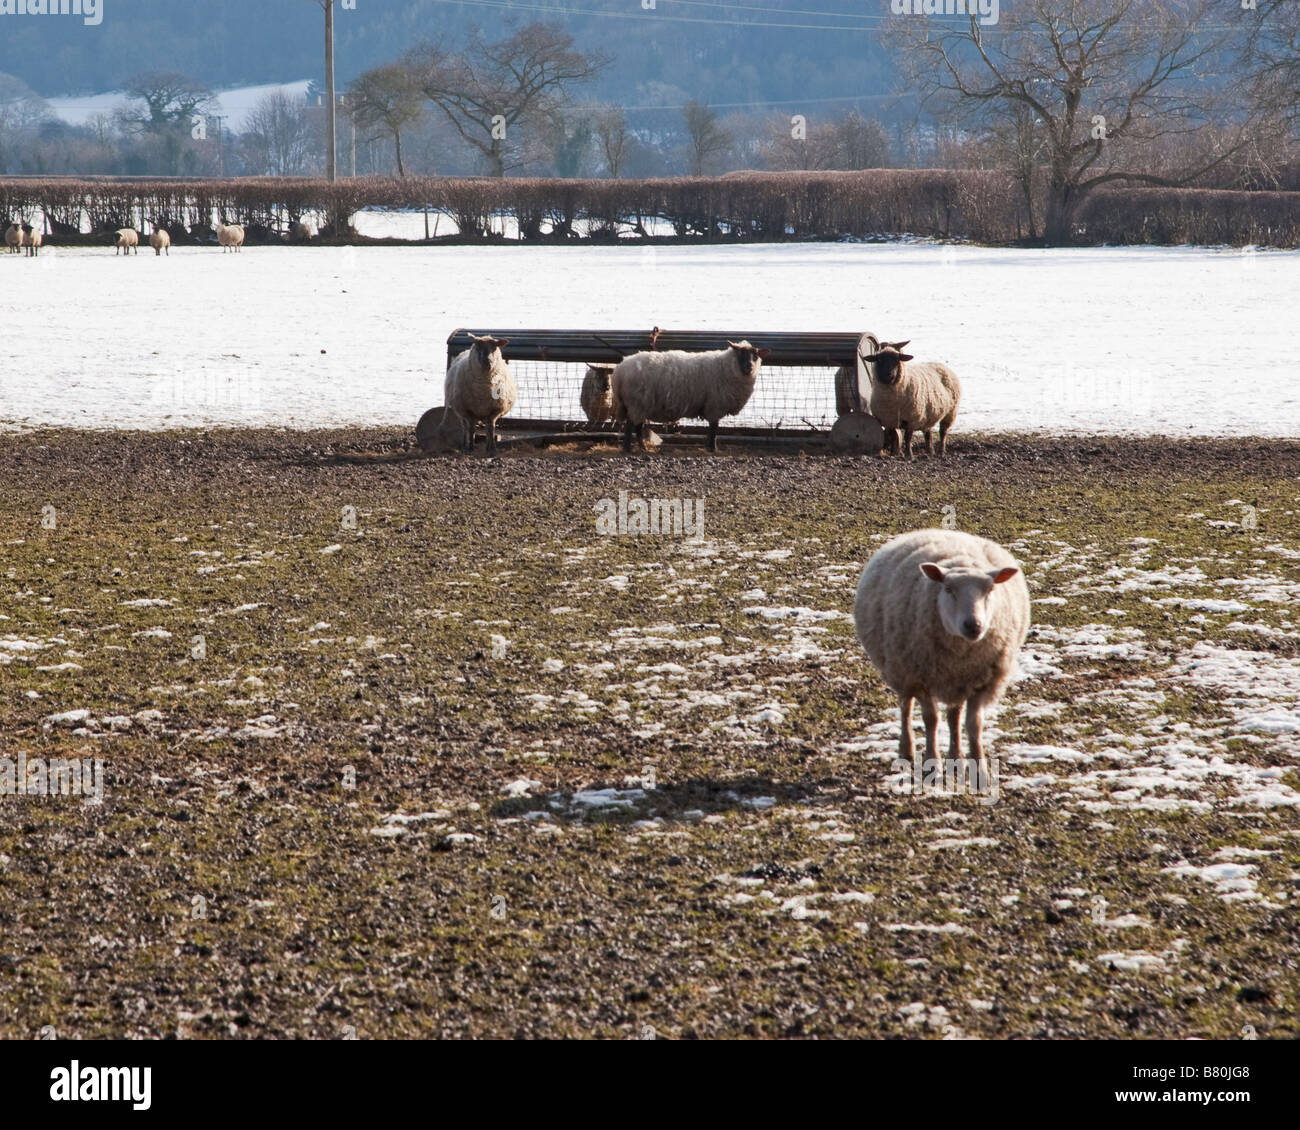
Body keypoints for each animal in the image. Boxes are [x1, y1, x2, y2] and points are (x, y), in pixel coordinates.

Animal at [611, 340, 770, 453]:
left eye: (755, 356)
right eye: (741, 354)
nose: (749, 367)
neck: (725, 367)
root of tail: (619, 371)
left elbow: (712, 428)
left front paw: (710, 446)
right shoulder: (715, 404)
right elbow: (714, 428)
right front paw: (712, 448)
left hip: (640, 404)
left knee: (637, 426)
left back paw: (642, 447)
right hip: (637, 403)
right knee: (631, 425)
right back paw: (629, 448)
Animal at [853, 528, 1029, 777]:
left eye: (990, 589)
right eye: (947, 589)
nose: (973, 625)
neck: (961, 652)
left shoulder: (983, 681)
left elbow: (973, 724)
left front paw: (980, 767)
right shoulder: (919, 677)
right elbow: (931, 719)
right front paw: (932, 762)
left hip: (956, 681)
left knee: (953, 716)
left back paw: (956, 756)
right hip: (900, 671)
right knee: (906, 707)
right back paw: (906, 750)